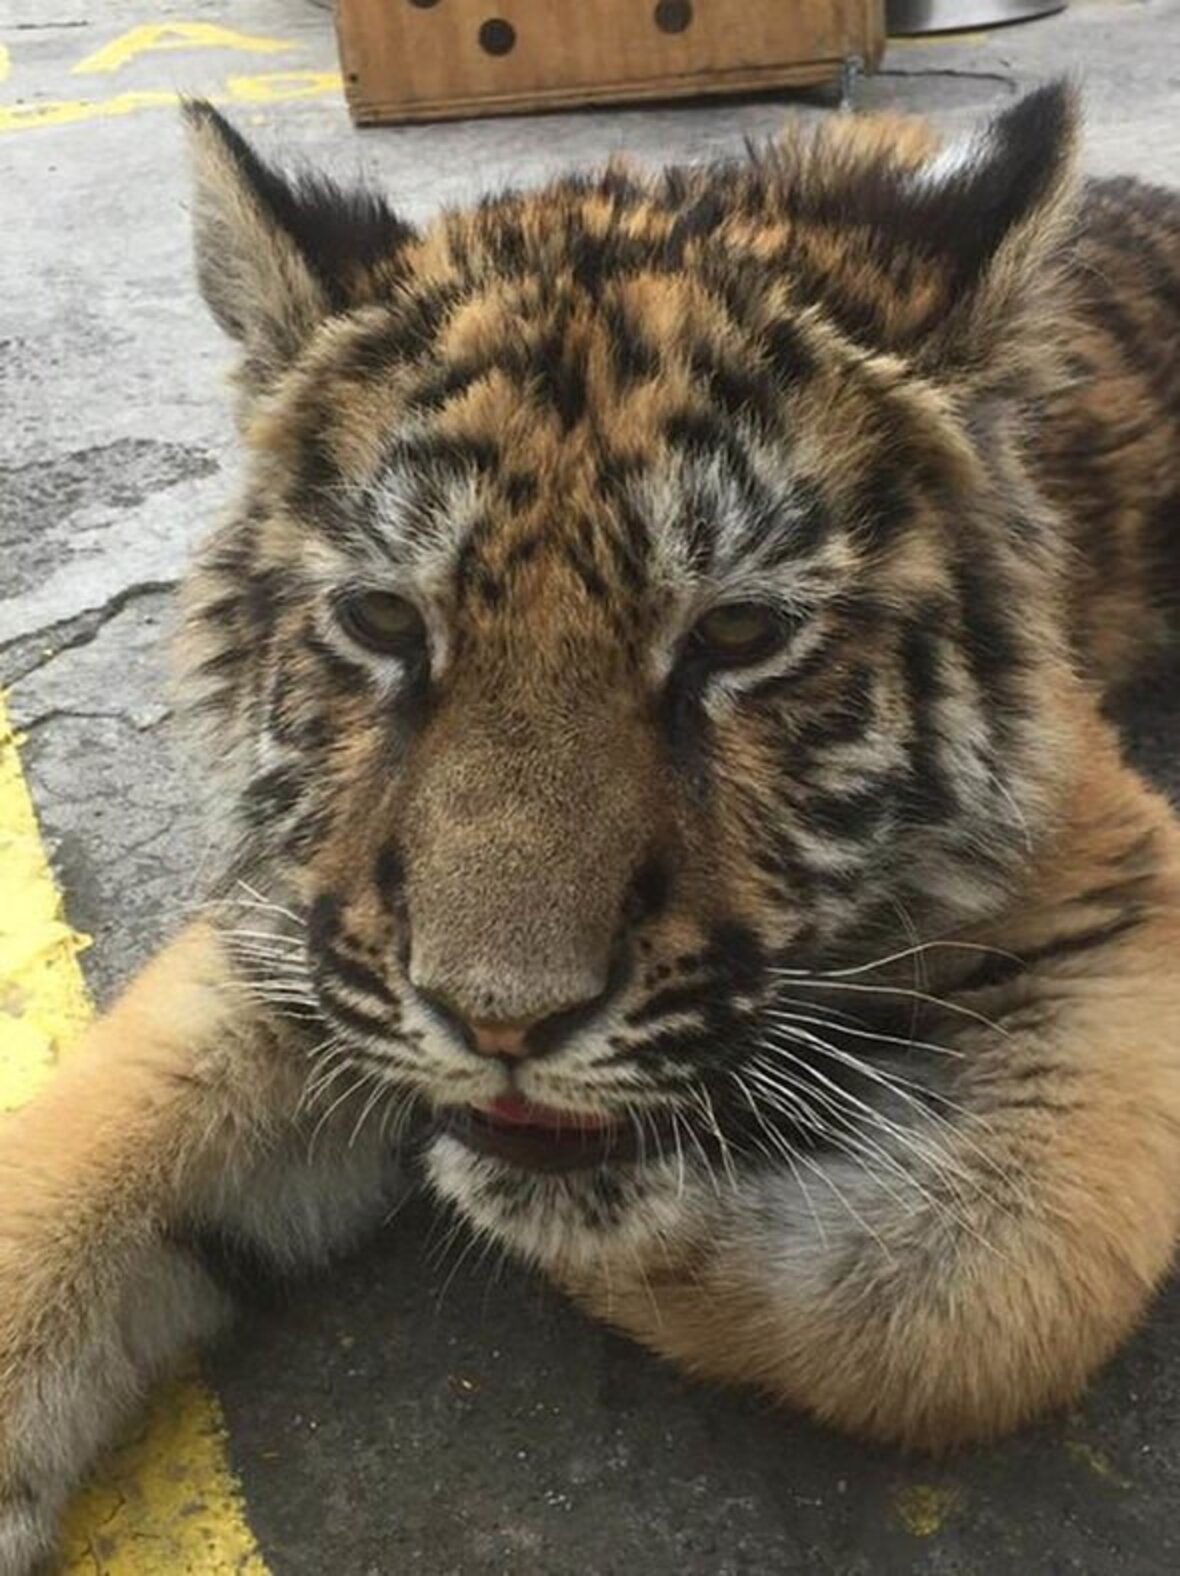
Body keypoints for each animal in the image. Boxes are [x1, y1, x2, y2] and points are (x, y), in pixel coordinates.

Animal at [3, 79, 1180, 1573]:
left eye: (736, 636)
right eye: (383, 621)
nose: (501, 1024)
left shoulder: (1115, 881)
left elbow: (972, 1301)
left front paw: (620, 1235)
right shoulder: (300, 931)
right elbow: (74, 1166)